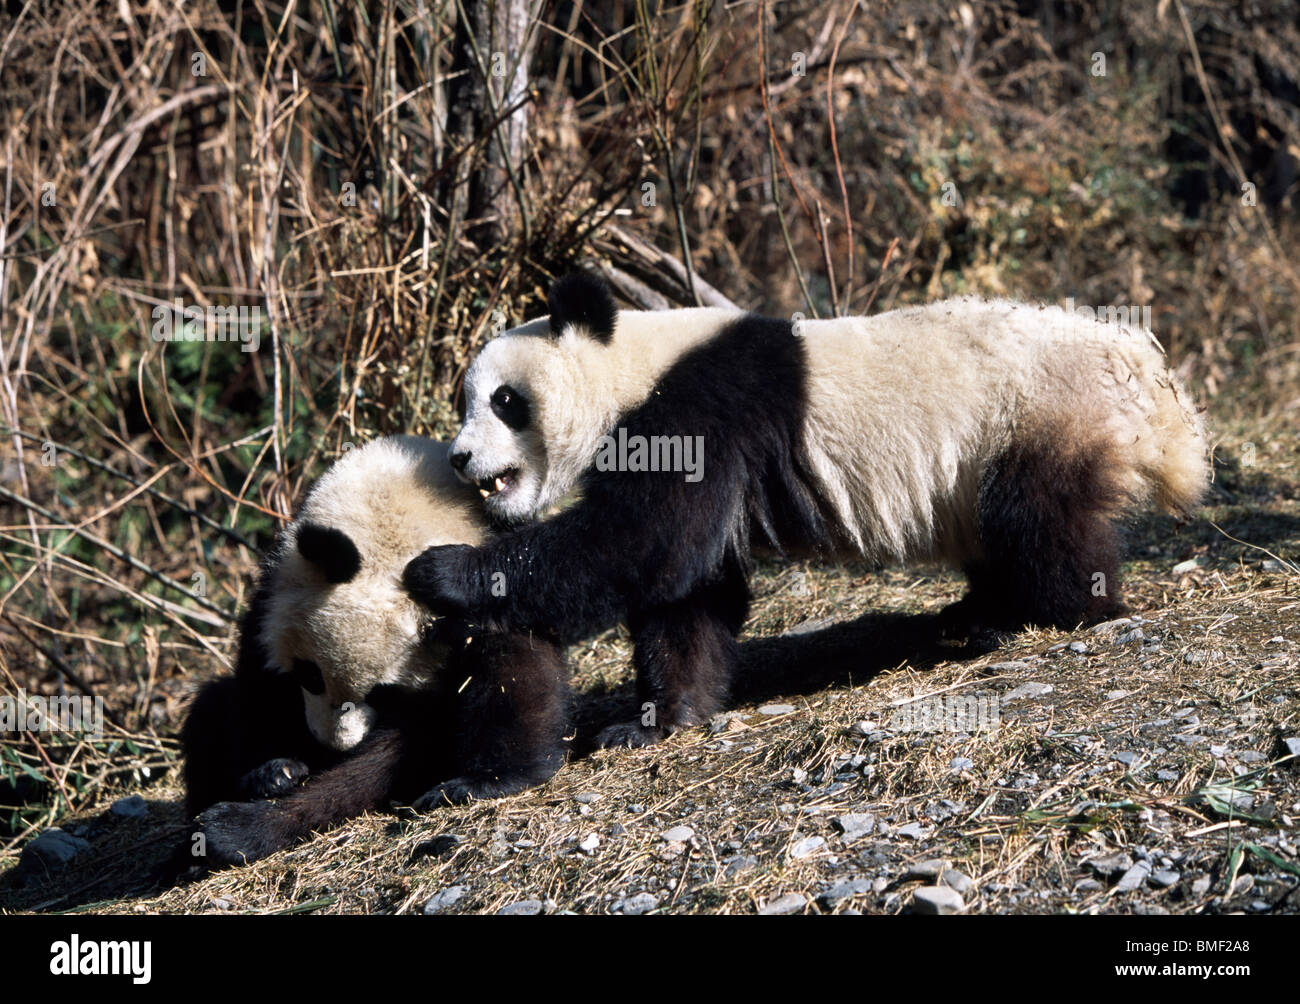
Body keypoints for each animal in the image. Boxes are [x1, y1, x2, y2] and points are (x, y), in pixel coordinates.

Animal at [180, 436, 568, 866]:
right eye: (310, 675)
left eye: (385, 693)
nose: (334, 745)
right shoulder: (277, 584)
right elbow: (257, 685)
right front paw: (274, 770)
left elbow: (514, 673)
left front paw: (487, 779)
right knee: (210, 713)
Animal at [403, 272, 1209, 749]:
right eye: (468, 401)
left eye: (505, 401)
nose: (460, 460)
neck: (630, 365)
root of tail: (1150, 376)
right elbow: (690, 585)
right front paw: (660, 717)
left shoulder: (698, 412)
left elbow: (641, 545)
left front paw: (442, 574)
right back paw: (975, 611)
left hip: (1034, 414)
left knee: (1039, 519)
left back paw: (1060, 612)